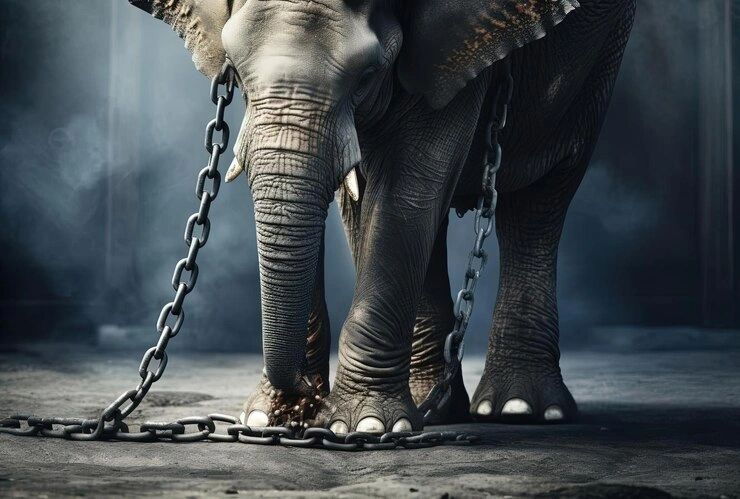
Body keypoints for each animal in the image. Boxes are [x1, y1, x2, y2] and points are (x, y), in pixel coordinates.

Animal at [131, 0, 636, 433]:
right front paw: (269, 419)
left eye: (367, 75)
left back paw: (518, 409)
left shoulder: (456, 38)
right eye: (234, 69)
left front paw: (364, 426)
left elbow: (407, 184)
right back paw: (432, 405)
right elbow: (361, 197)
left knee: (541, 199)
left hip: (603, 57)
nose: (304, 397)